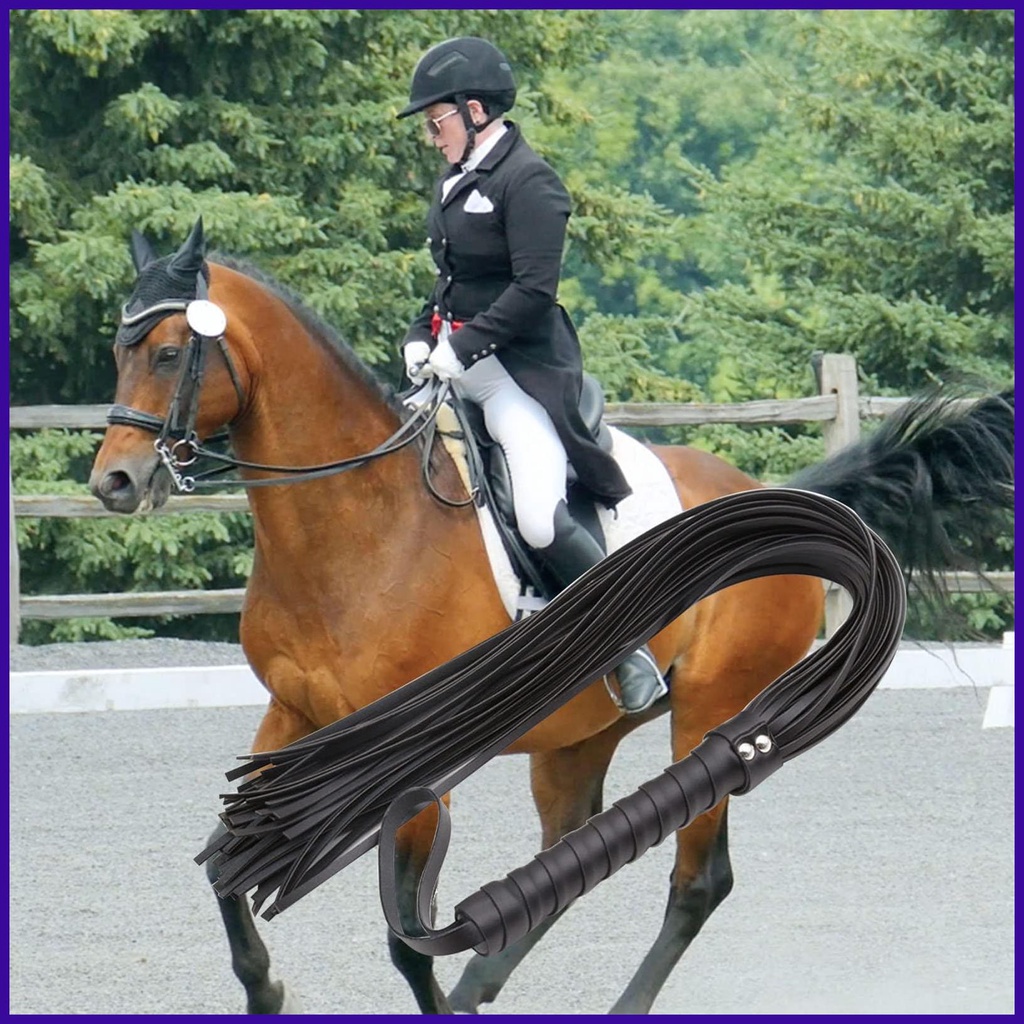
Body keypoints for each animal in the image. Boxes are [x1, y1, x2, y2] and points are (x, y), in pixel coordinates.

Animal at [88, 220, 1013, 1015]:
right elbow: (225, 861)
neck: (360, 524)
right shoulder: (297, 715)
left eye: (167, 353)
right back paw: (481, 984)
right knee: (570, 851)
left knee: (697, 882)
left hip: (713, 708)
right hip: (581, 729)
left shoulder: (410, 761)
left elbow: (405, 937)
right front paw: (266, 990)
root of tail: (787, 499)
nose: (115, 483)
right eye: (117, 354)